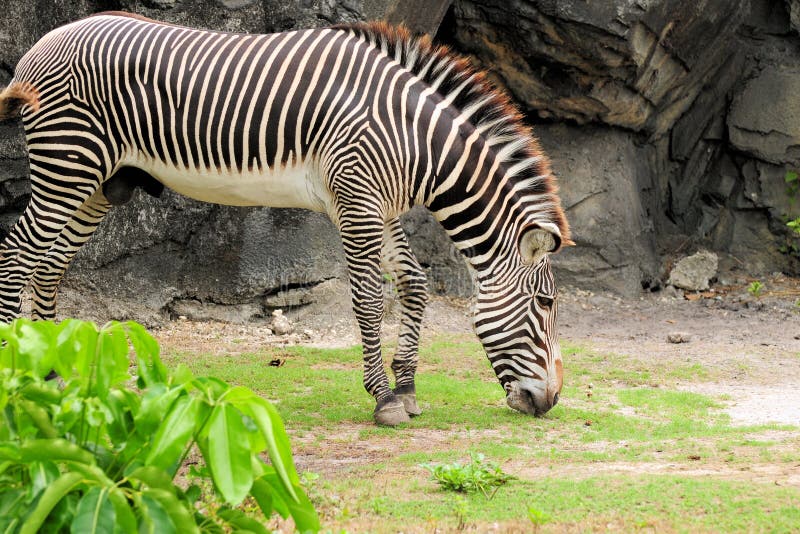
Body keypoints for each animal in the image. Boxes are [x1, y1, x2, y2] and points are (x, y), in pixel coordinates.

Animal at [0, 12, 572, 426]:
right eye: (545, 304)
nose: (551, 401)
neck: (415, 141)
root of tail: (42, 43)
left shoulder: (380, 205)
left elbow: (412, 284)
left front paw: (407, 389)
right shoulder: (356, 200)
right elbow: (369, 300)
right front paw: (384, 400)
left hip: (101, 182)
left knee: (47, 267)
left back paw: (52, 377)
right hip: (68, 164)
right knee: (17, 255)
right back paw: (14, 373)